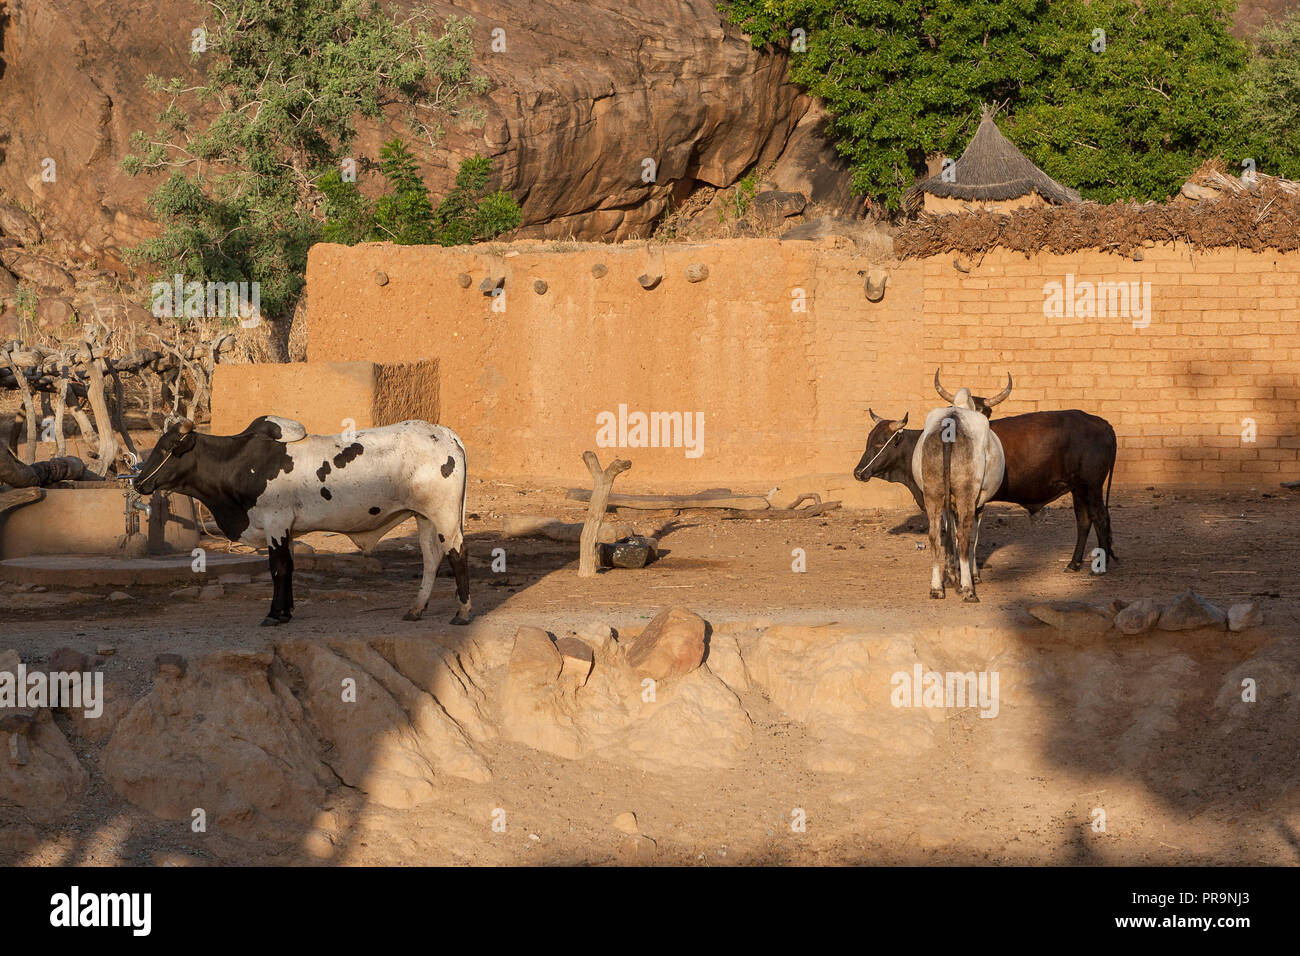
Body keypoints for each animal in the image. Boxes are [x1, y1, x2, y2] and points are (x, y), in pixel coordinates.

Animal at [133, 416, 471, 627]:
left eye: (166, 449)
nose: (138, 482)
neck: (242, 462)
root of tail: (446, 434)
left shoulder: (275, 524)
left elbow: (278, 569)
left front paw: (274, 614)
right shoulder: (288, 530)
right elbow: (290, 568)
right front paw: (287, 611)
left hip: (445, 513)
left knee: (457, 553)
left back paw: (463, 612)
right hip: (424, 517)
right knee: (431, 558)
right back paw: (416, 609)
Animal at [854, 408, 1118, 573]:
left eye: (879, 444)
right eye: (868, 441)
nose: (858, 473)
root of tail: (1103, 424)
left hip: (1091, 487)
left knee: (1101, 518)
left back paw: (1102, 567)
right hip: (1078, 490)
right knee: (1084, 521)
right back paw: (1074, 564)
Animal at [914, 387, 1006, 601]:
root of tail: (951, 423)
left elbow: (950, 534)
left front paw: (951, 574)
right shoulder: (978, 502)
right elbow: (971, 537)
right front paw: (971, 575)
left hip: (933, 493)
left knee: (934, 536)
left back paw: (937, 588)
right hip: (966, 492)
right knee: (964, 535)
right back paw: (967, 589)